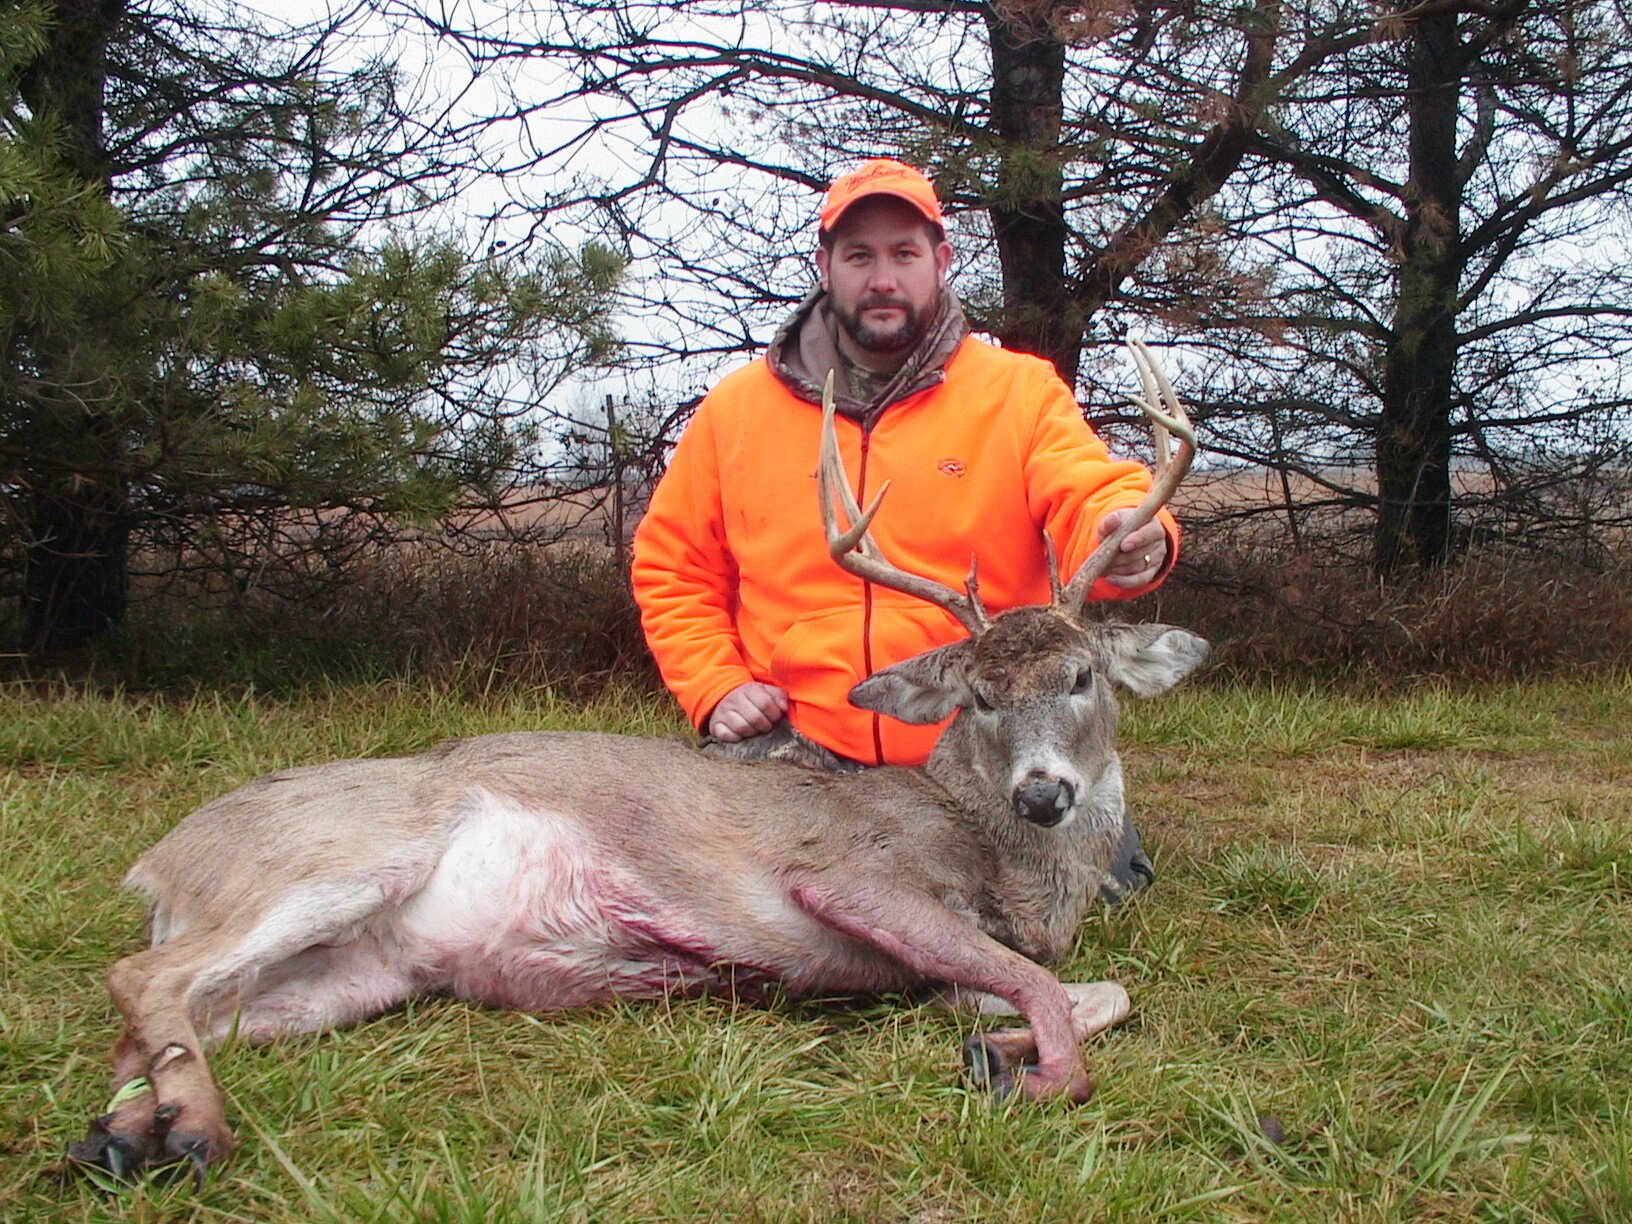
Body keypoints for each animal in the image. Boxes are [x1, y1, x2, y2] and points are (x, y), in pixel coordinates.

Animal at [68, 340, 1206, 1182]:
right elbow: (1057, 994)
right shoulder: (853, 877)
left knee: (169, 1014)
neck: (1008, 869)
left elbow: (1087, 991)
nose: (1045, 792)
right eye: (978, 696)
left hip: (343, 978)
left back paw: (122, 1136)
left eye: (1083, 676)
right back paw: (191, 1134)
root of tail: (158, 864)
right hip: (339, 858)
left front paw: (992, 1049)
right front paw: (1024, 1071)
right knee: (140, 973)